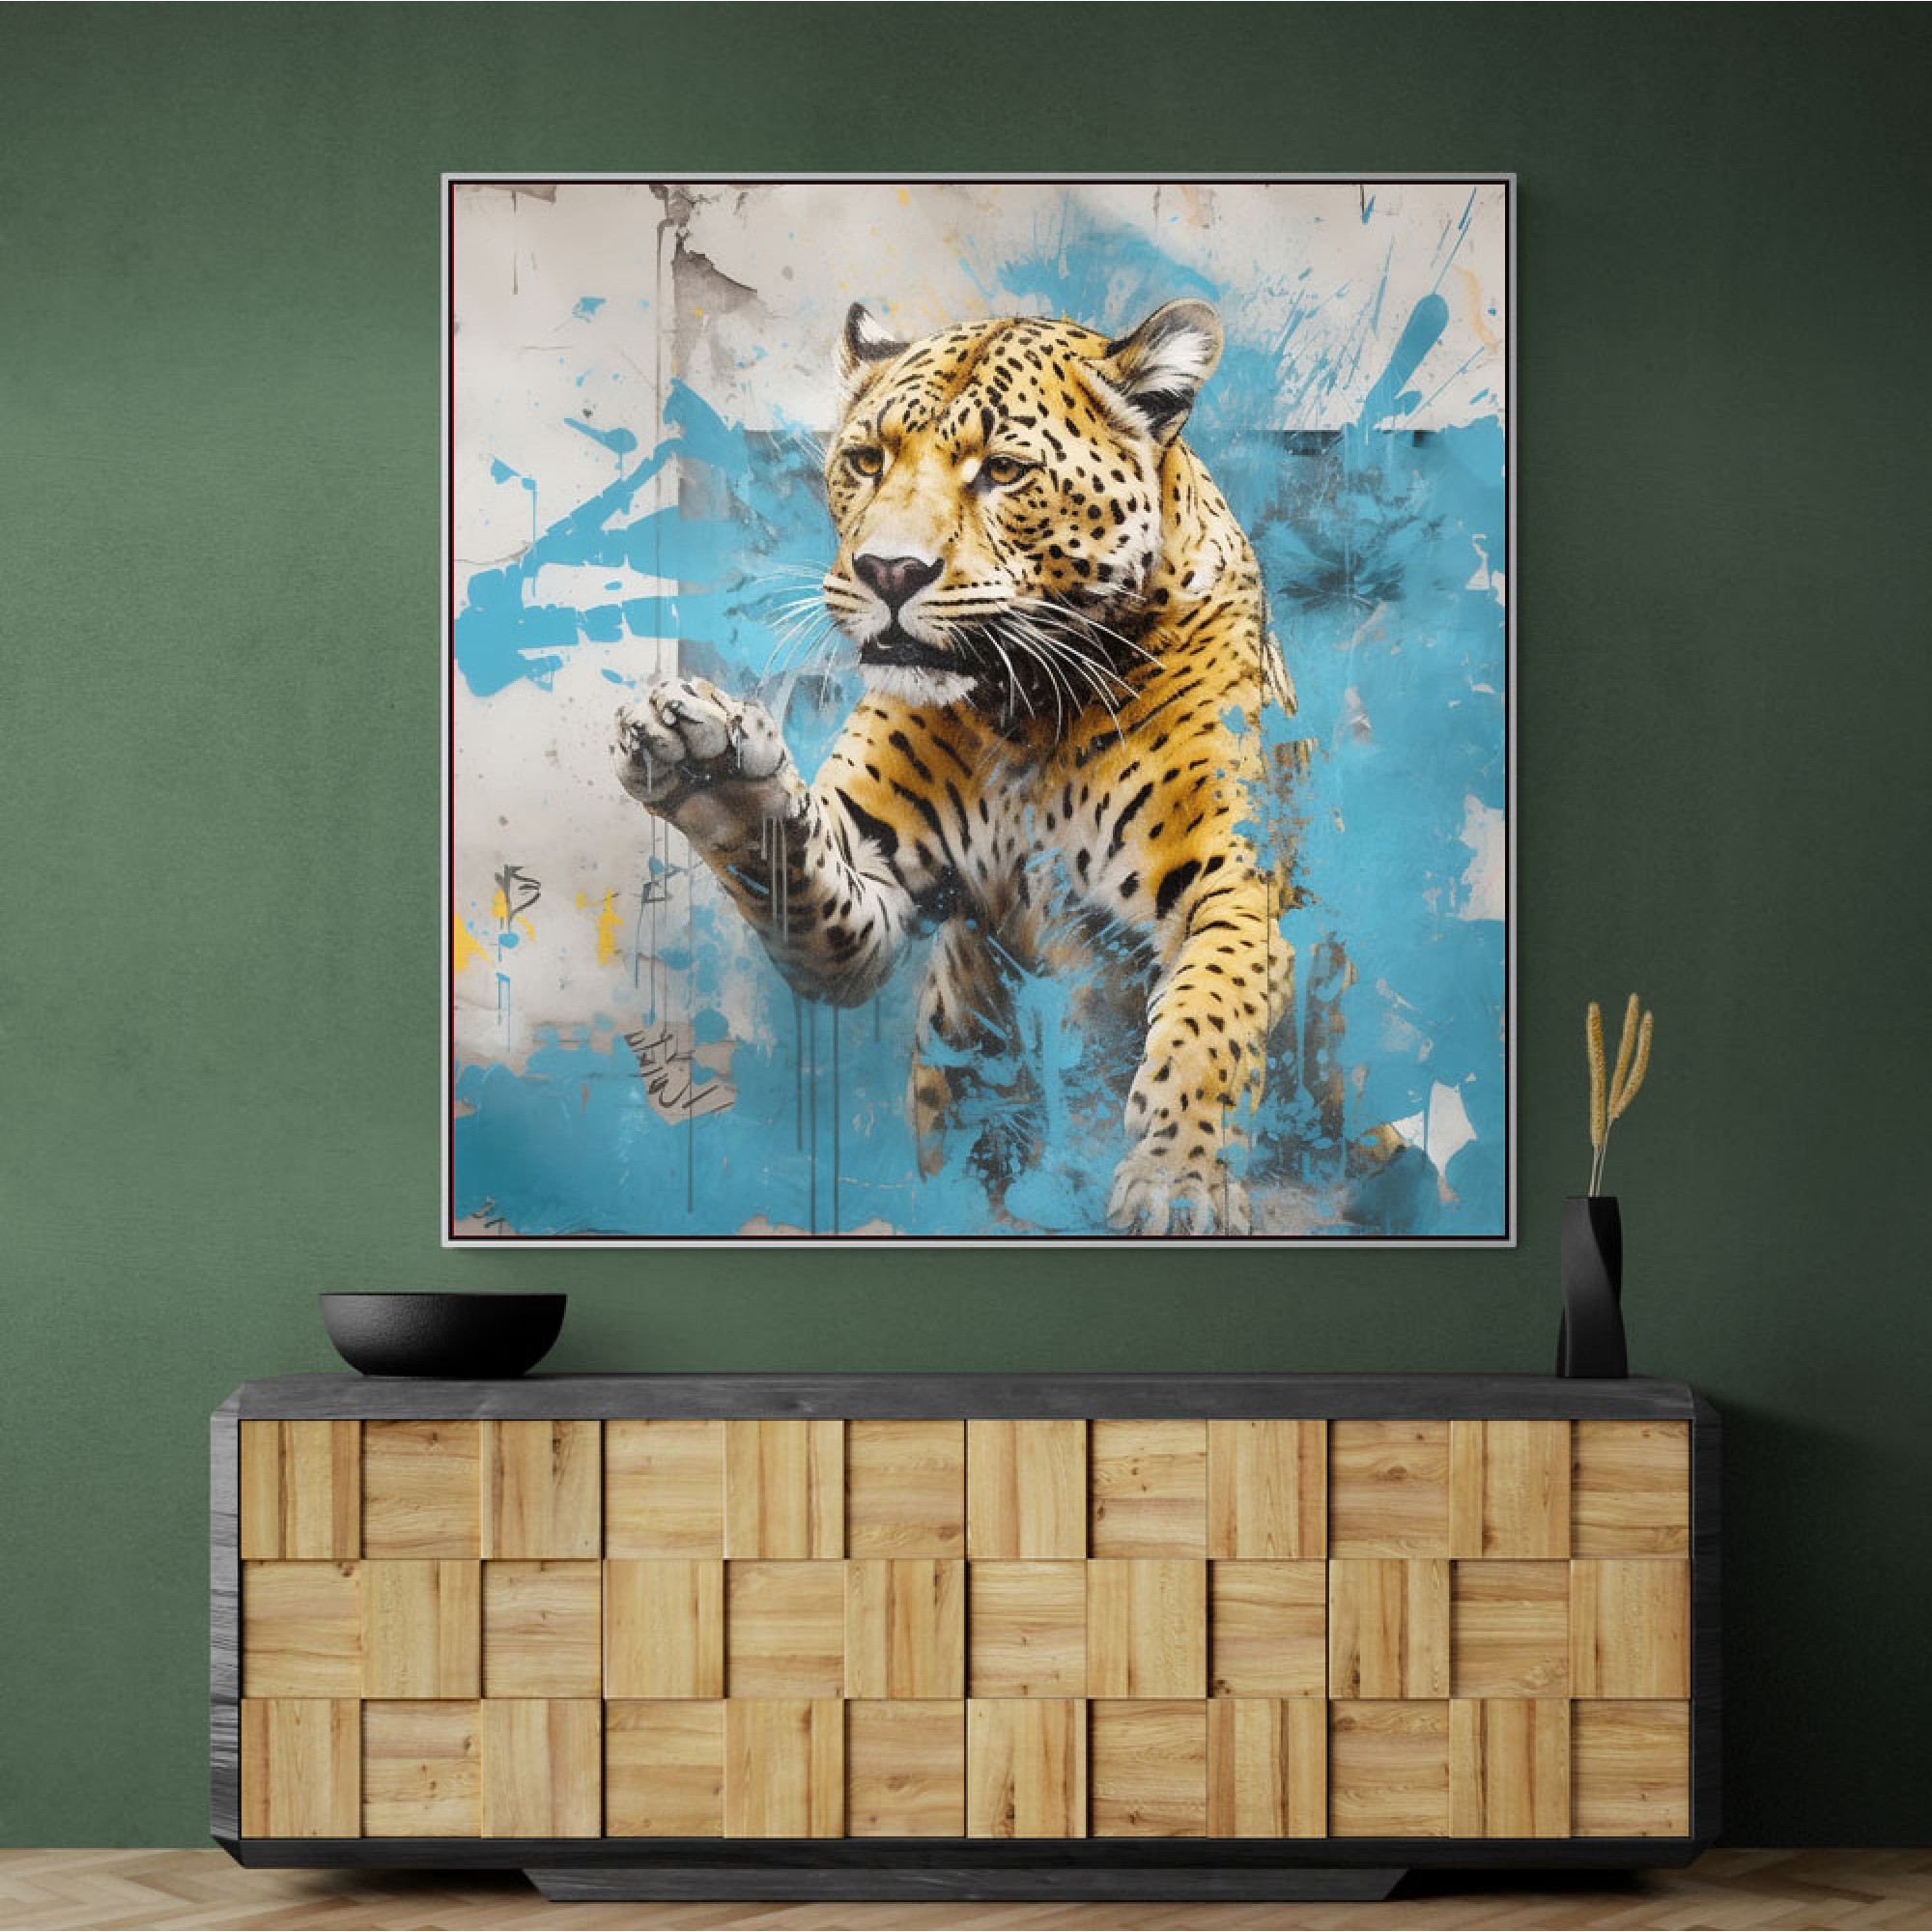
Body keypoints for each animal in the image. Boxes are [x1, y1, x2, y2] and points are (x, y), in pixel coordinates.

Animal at [613, 299, 1302, 1235]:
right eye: (867, 460)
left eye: (1003, 472)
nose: (889, 571)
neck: (1029, 713)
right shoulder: (868, 880)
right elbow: (791, 865)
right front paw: (710, 770)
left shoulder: (1229, 882)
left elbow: (1209, 1022)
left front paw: (1178, 1179)